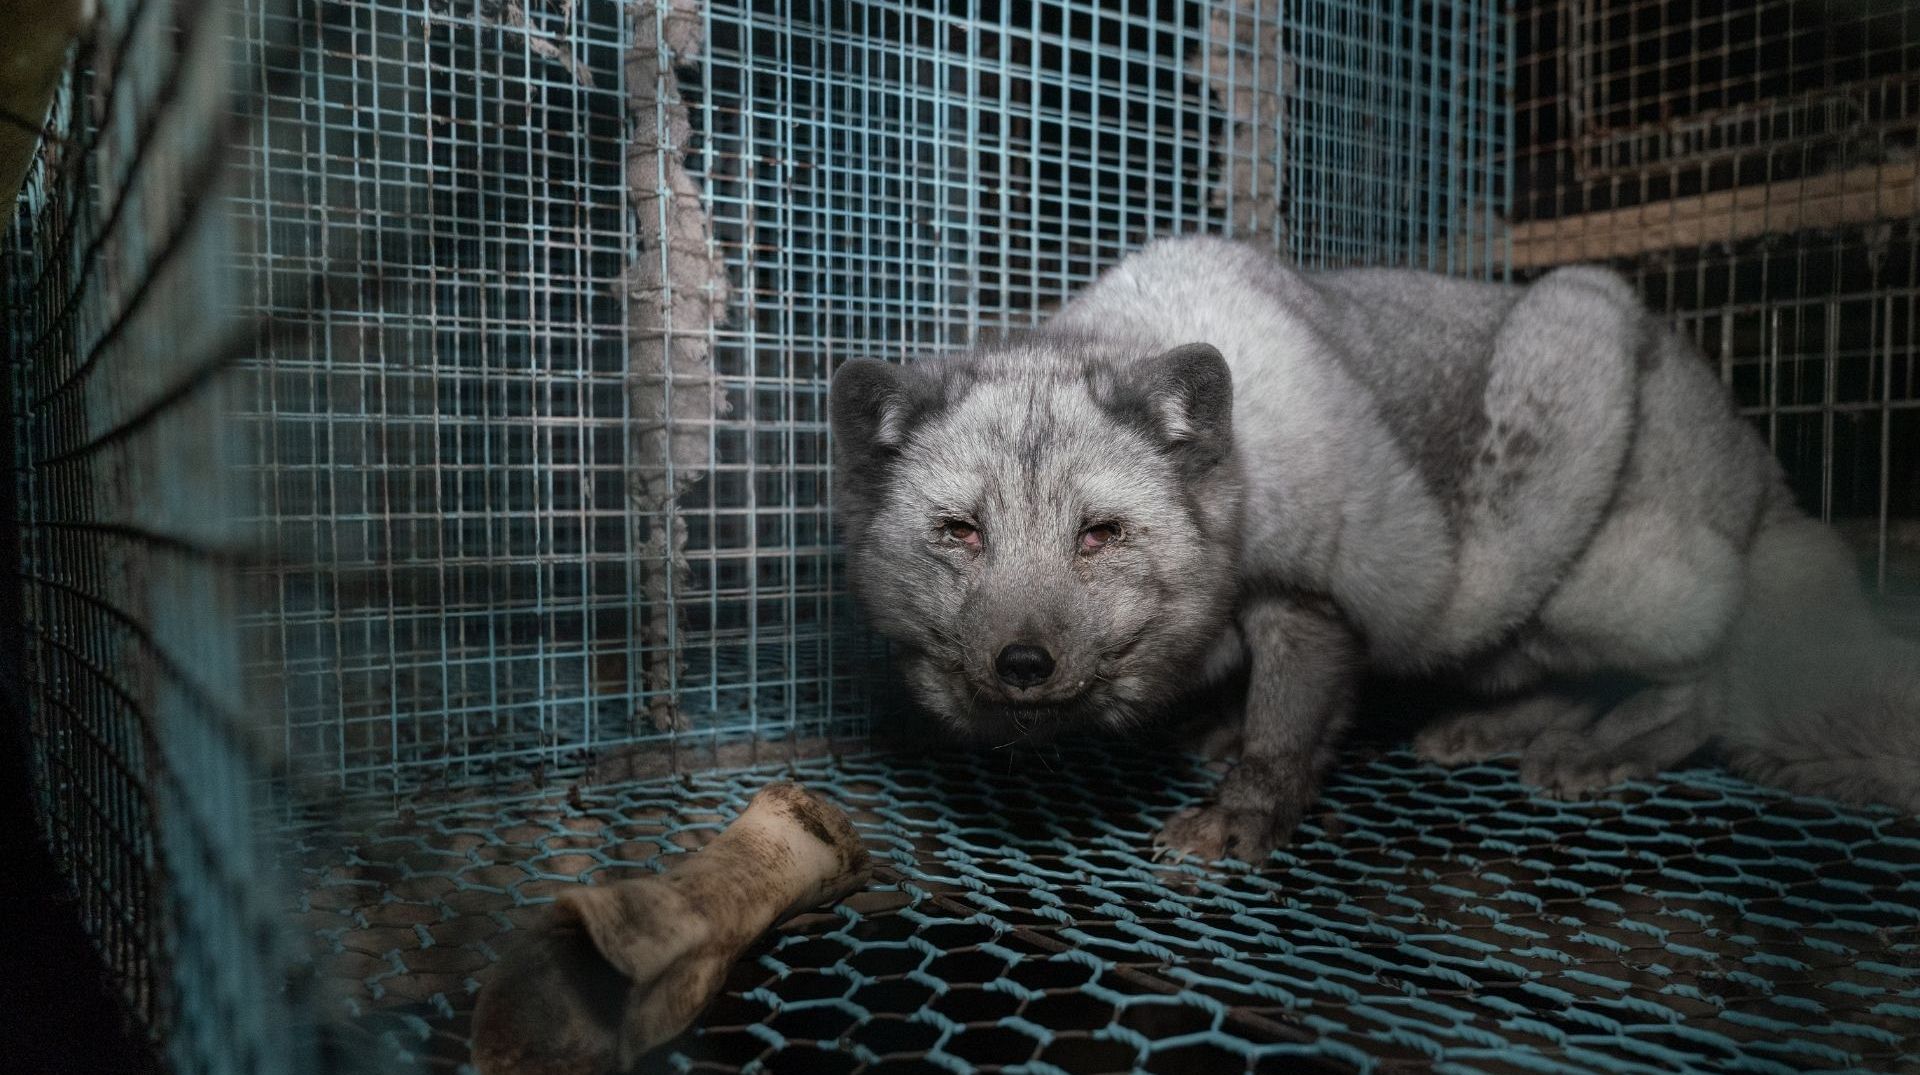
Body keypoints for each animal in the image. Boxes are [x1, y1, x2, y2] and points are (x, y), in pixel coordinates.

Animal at [828, 235, 1920, 862]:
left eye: (1100, 534)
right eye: (960, 531)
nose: (1022, 662)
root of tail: (1761, 462)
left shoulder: (1312, 594)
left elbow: (1284, 725)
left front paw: (1247, 811)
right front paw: (1228, 737)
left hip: (1591, 520)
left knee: (1702, 676)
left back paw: (1610, 747)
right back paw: (1498, 728)